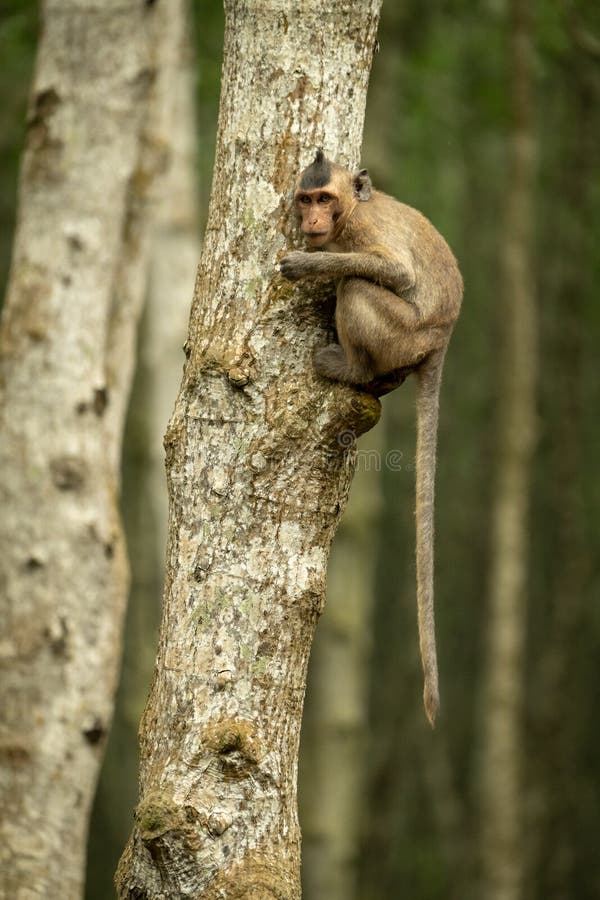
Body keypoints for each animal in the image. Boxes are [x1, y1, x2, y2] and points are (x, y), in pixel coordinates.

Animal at [280, 150, 463, 726]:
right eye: (306, 199)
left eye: (325, 200)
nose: (313, 220)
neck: (350, 216)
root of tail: (442, 336)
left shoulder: (364, 232)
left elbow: (392, 270)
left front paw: (311, 265)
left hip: (401, 332)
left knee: (359, 287)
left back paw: (353, 368)